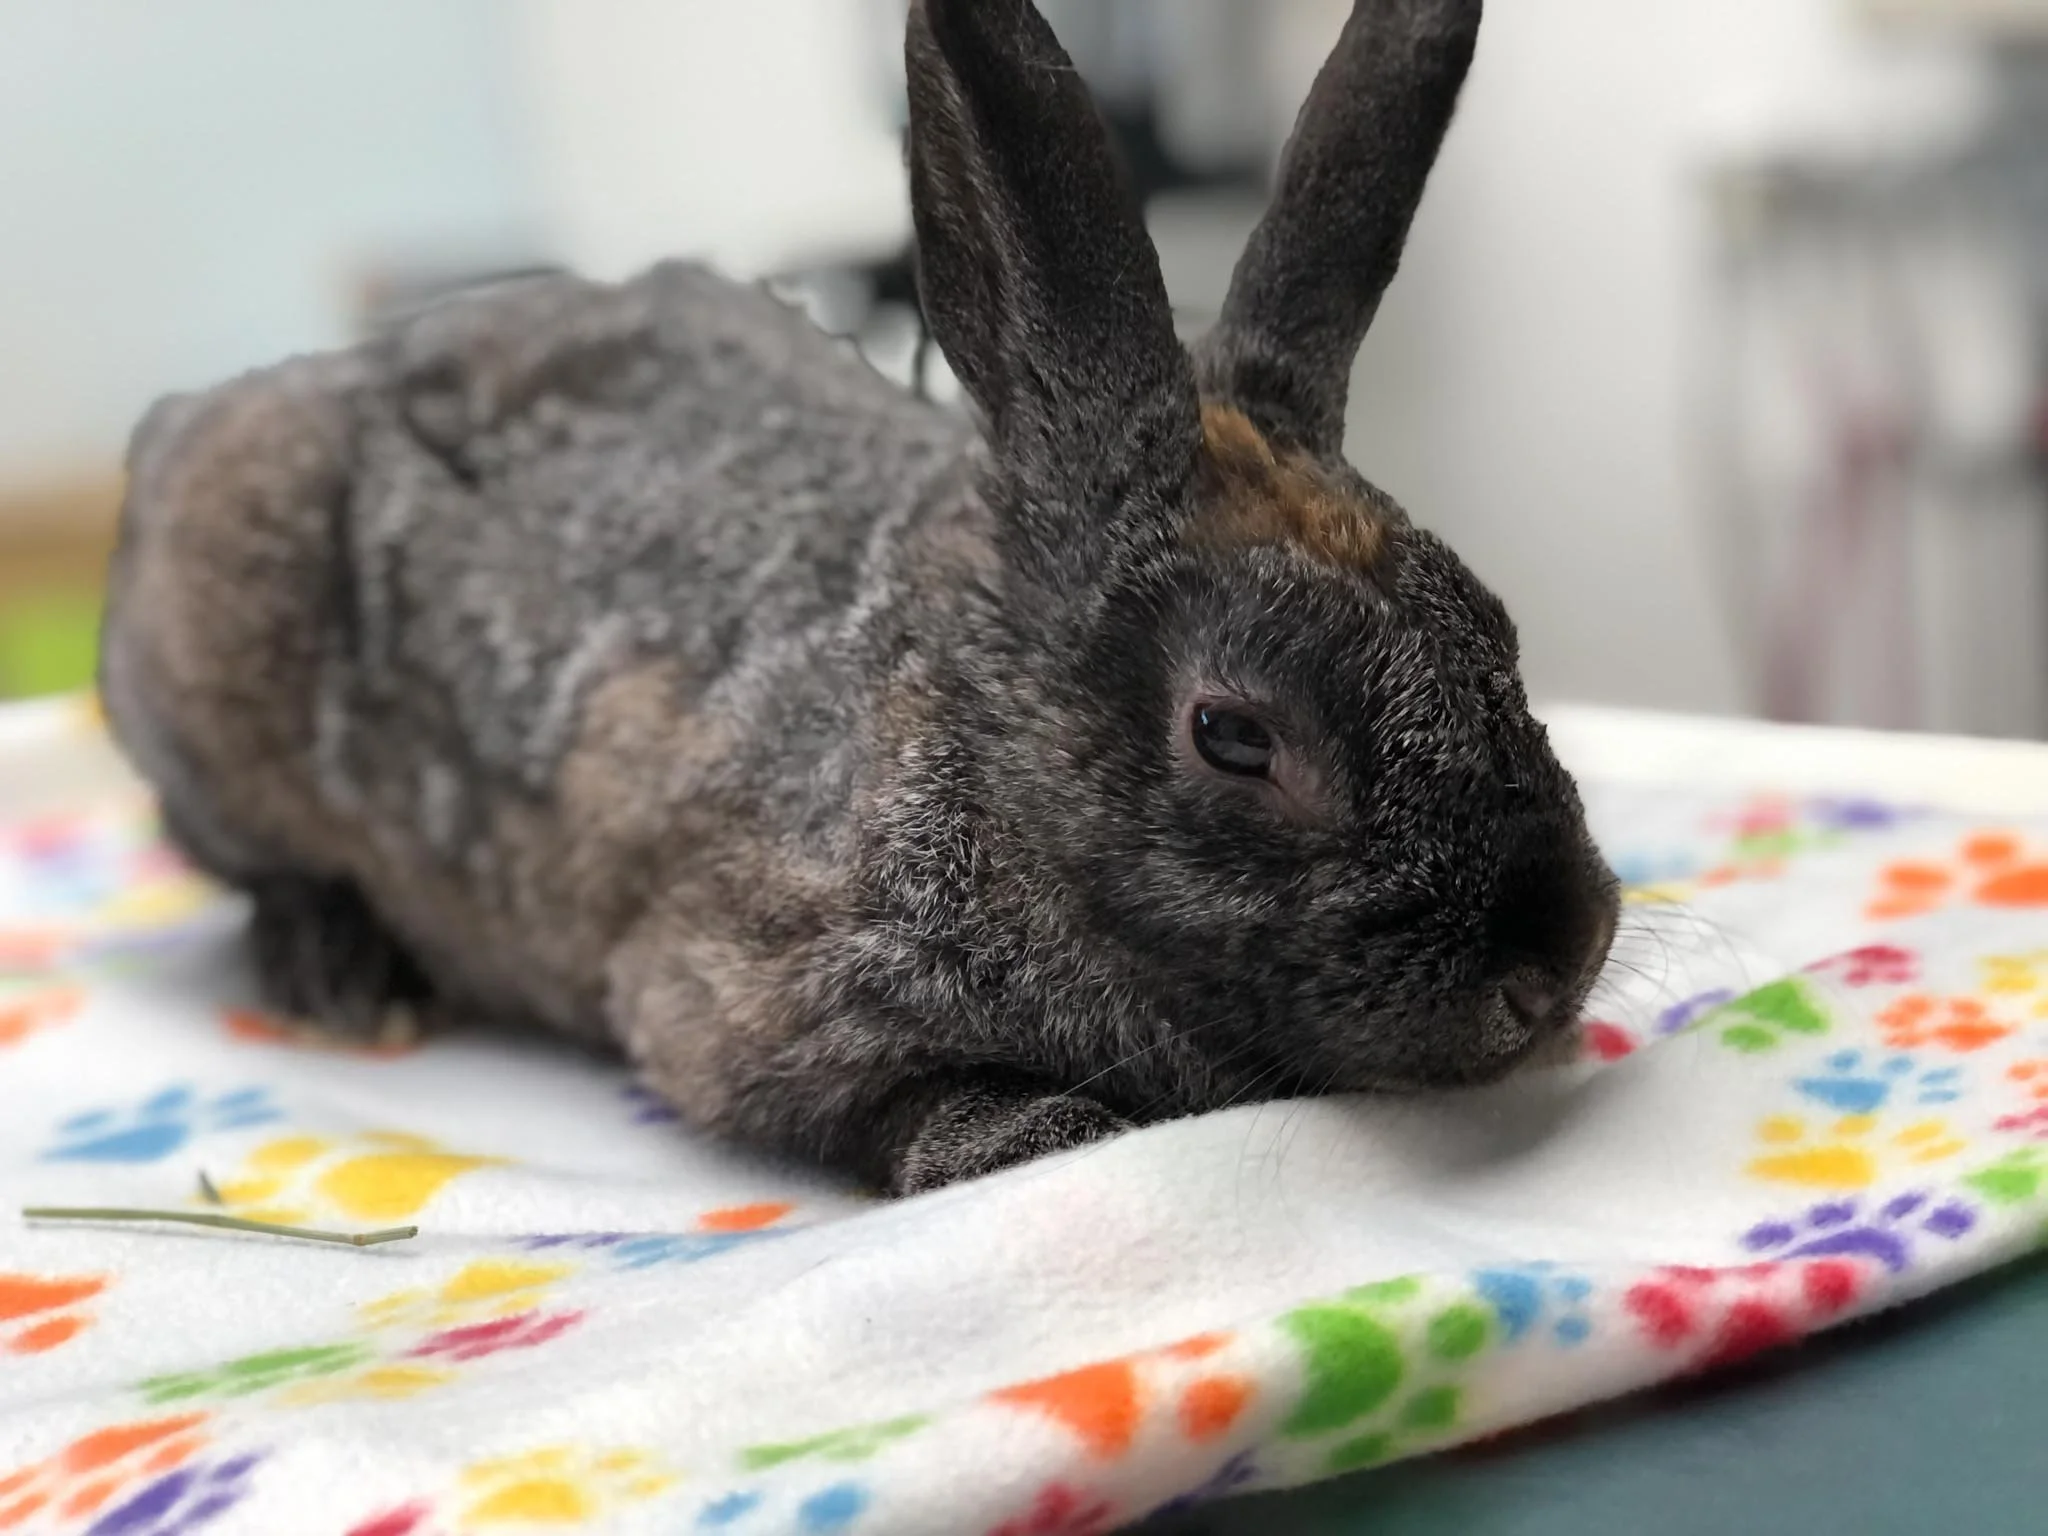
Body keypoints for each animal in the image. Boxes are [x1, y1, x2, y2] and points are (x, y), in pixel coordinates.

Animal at [99, 0, 1618, 1195]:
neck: (980, 764)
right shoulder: (737, 994)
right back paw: (347, 979)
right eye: (1233, 736)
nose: (1557, 958)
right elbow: (879, 1105)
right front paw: (1032, 1136)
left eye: (1499, 632)